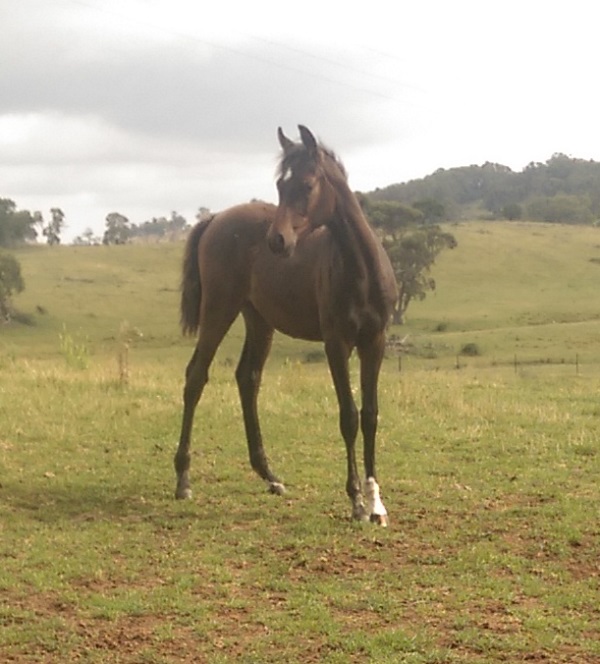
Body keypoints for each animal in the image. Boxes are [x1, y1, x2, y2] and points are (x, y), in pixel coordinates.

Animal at [175, 125, 398, 524]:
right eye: (280, 185)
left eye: (307, 185)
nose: (277, 241)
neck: (361, 271)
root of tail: (215, 219)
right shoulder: (336, 343)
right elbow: (348, 416)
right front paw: (356, 501)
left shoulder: (375, 341)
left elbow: (370, 415)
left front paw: (376, 504)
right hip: (218, 309)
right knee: (196, 376)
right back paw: (183, 480)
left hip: (259, 320)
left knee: (247, 379)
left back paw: (270, 476)